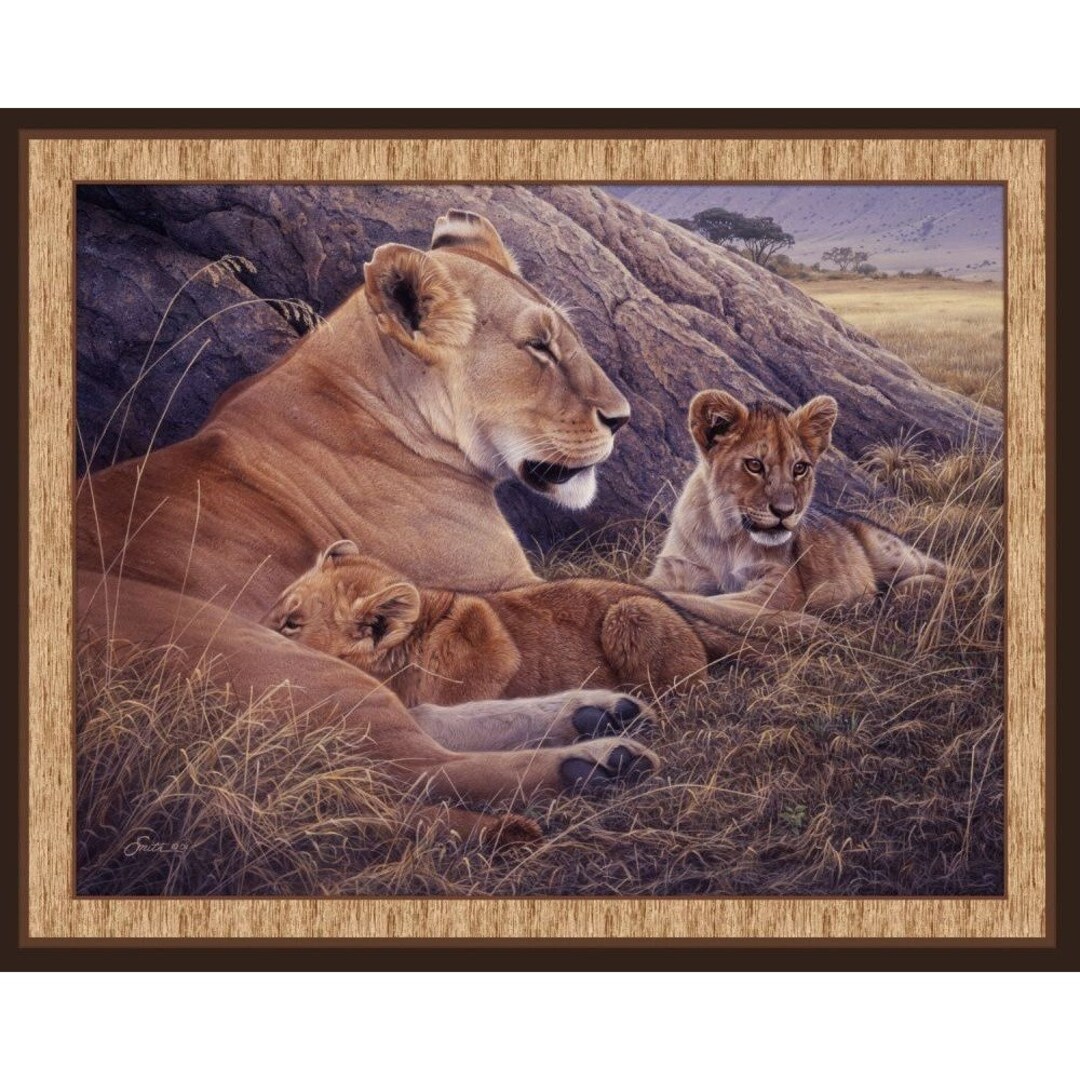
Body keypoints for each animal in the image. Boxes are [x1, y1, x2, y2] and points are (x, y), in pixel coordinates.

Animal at [644, 389, 947, 624]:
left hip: (892, 553)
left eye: (799, 468)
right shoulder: (676, 570)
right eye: (754, 465)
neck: (726, 535)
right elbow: (671, 589)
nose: (784, 512)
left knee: (944, 570)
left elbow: (714, 601)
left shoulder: (781, 587)